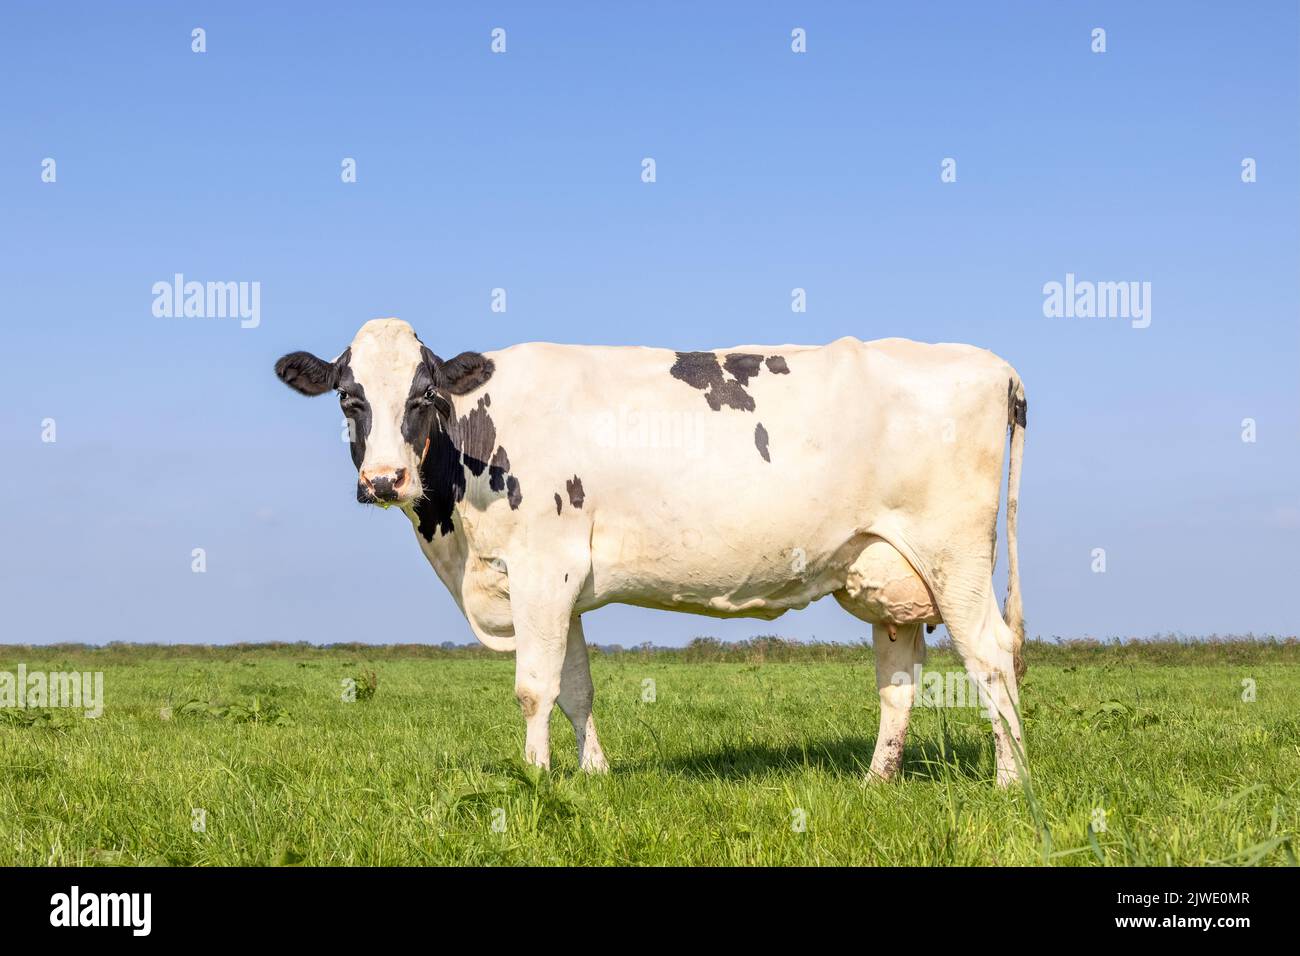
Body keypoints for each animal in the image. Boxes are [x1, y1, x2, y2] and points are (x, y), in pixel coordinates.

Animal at [275, 319, 1029, 784]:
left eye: (424, 395)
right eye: (348, 399)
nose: (383, 480)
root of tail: (995, 366)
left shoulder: (543, 569)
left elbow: (534, 686)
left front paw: (535, 779)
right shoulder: (562, 583)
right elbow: (576, 686)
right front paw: (594, 775)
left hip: (955, 556)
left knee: (991, 656)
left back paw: (1011, 783)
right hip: (884, 572)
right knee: (899, 680)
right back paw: (876, 782)